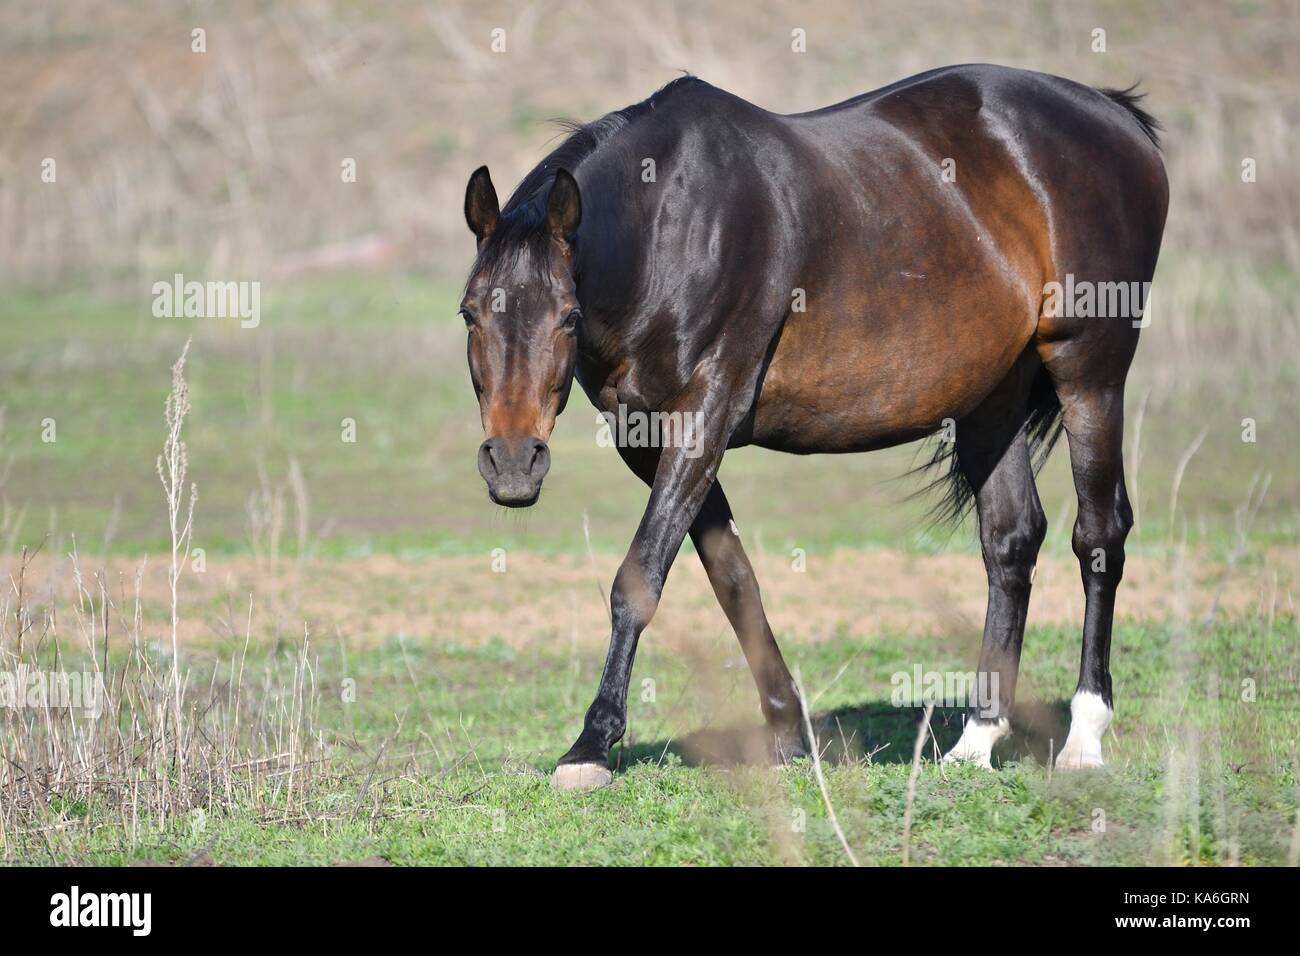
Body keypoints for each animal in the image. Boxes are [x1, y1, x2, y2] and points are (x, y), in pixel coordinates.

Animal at [458, 64, 1168, 790]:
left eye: (568, 317)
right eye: (469, 314)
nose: (512, 462)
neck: (671, 228)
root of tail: (1116, 115)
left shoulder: (704, 415)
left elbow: (640, 578)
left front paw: (591, 745)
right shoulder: (648, 438)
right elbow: (733, 579)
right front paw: (787, 732)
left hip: (1090, 371)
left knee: (1099, 535)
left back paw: (1084, 736)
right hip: (991, 396)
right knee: (1010, 539)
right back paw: (976, 739)